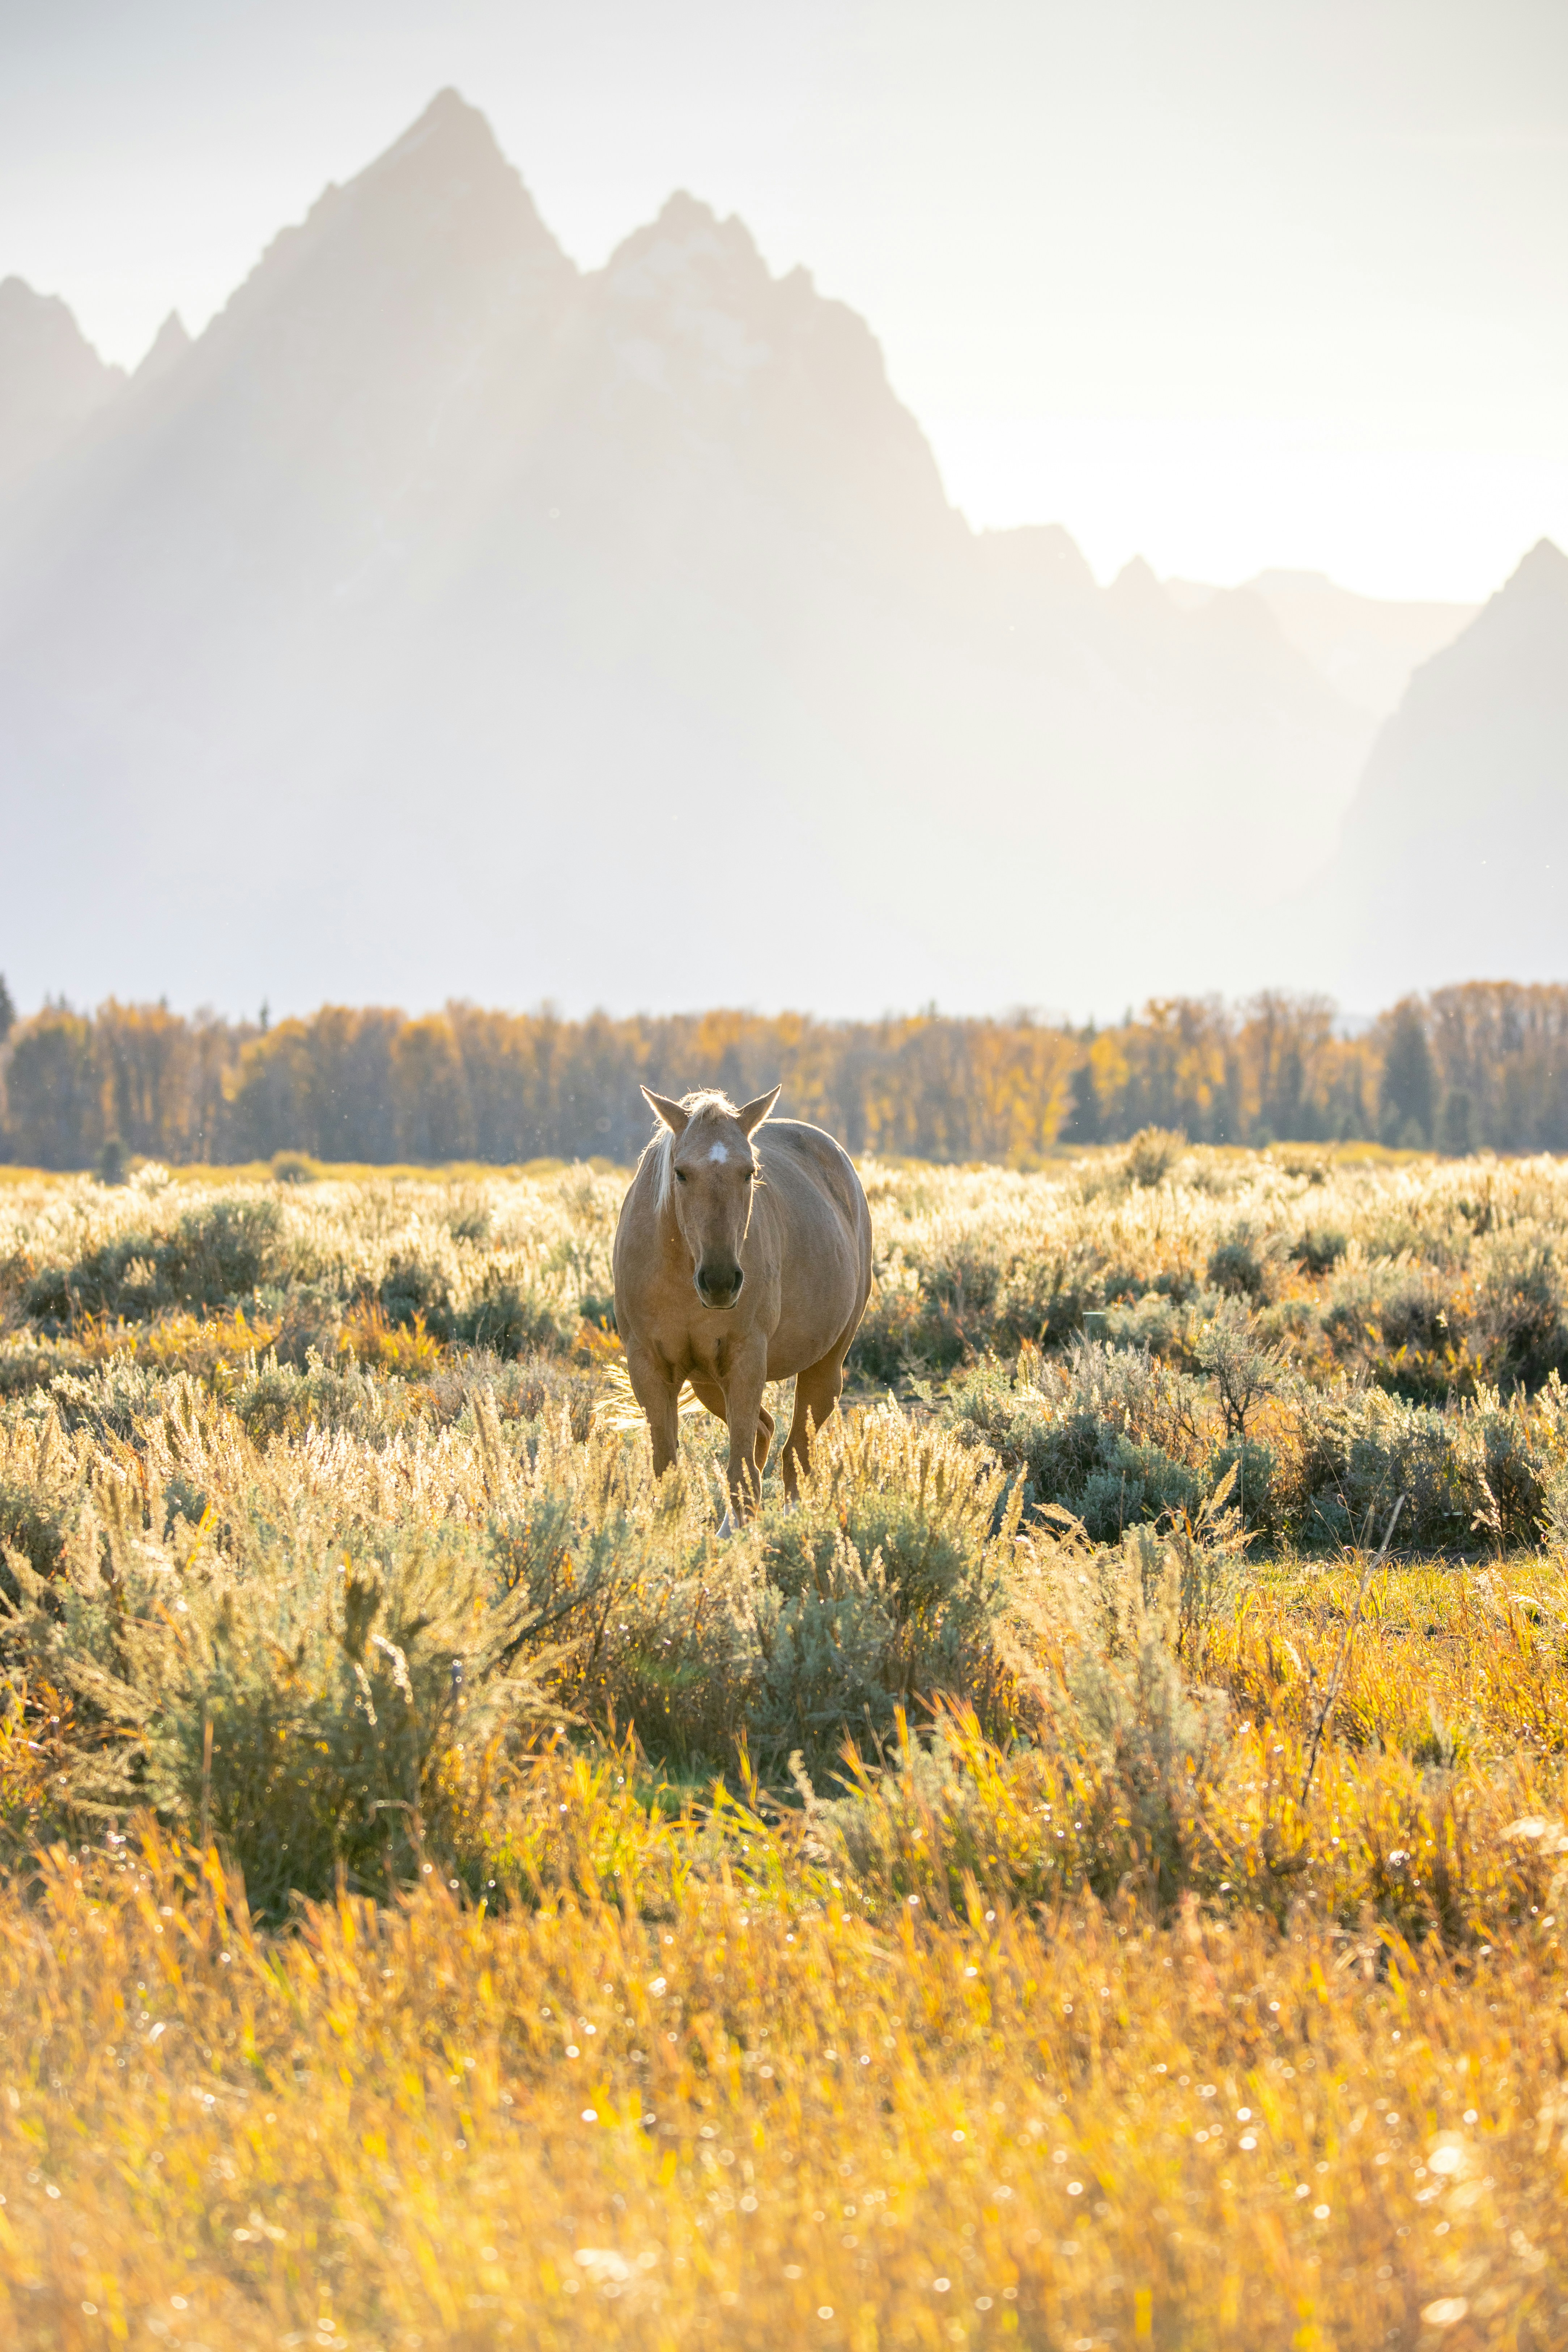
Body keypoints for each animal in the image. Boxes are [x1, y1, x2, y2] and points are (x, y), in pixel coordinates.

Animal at [612, 1083, 873, 1522]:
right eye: (681, 1173)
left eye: (750, 1172)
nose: (720, 1281)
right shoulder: (648, 1367)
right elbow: (668, 1470)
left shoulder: (747, 1360)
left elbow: (742, 1475)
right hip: (708, 1383)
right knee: (766, 1433)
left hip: (824, 1368)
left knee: (795, 1455)